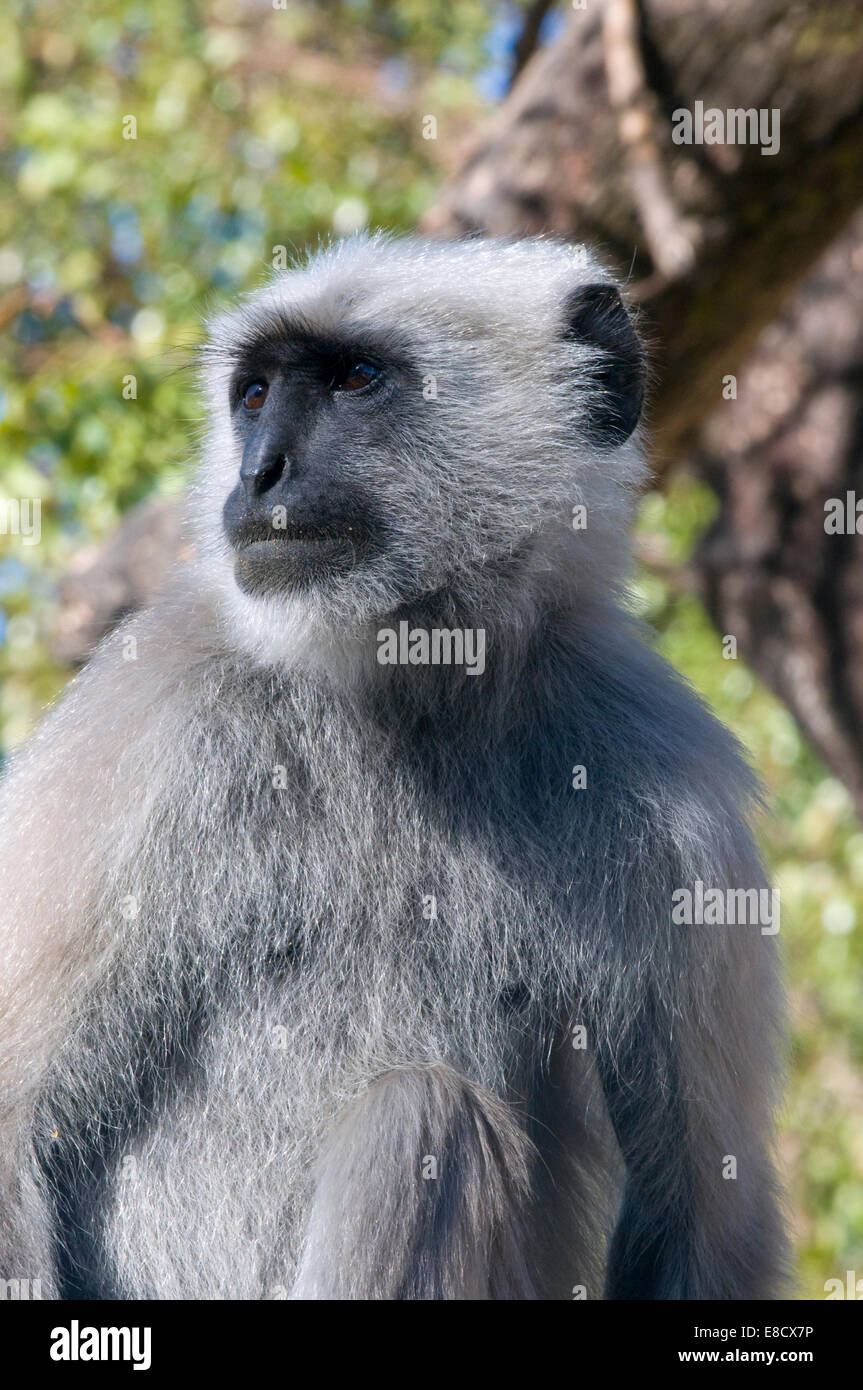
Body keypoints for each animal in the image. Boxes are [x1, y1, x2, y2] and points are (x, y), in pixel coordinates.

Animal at [0, 234, 788, 1300]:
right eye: (255, 394)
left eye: (357, 379)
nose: (259, 473)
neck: (409, 692)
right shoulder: (151, 714)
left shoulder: (670, 782)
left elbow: (700, 1215)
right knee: (425, 1112)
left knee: (422, 1111)